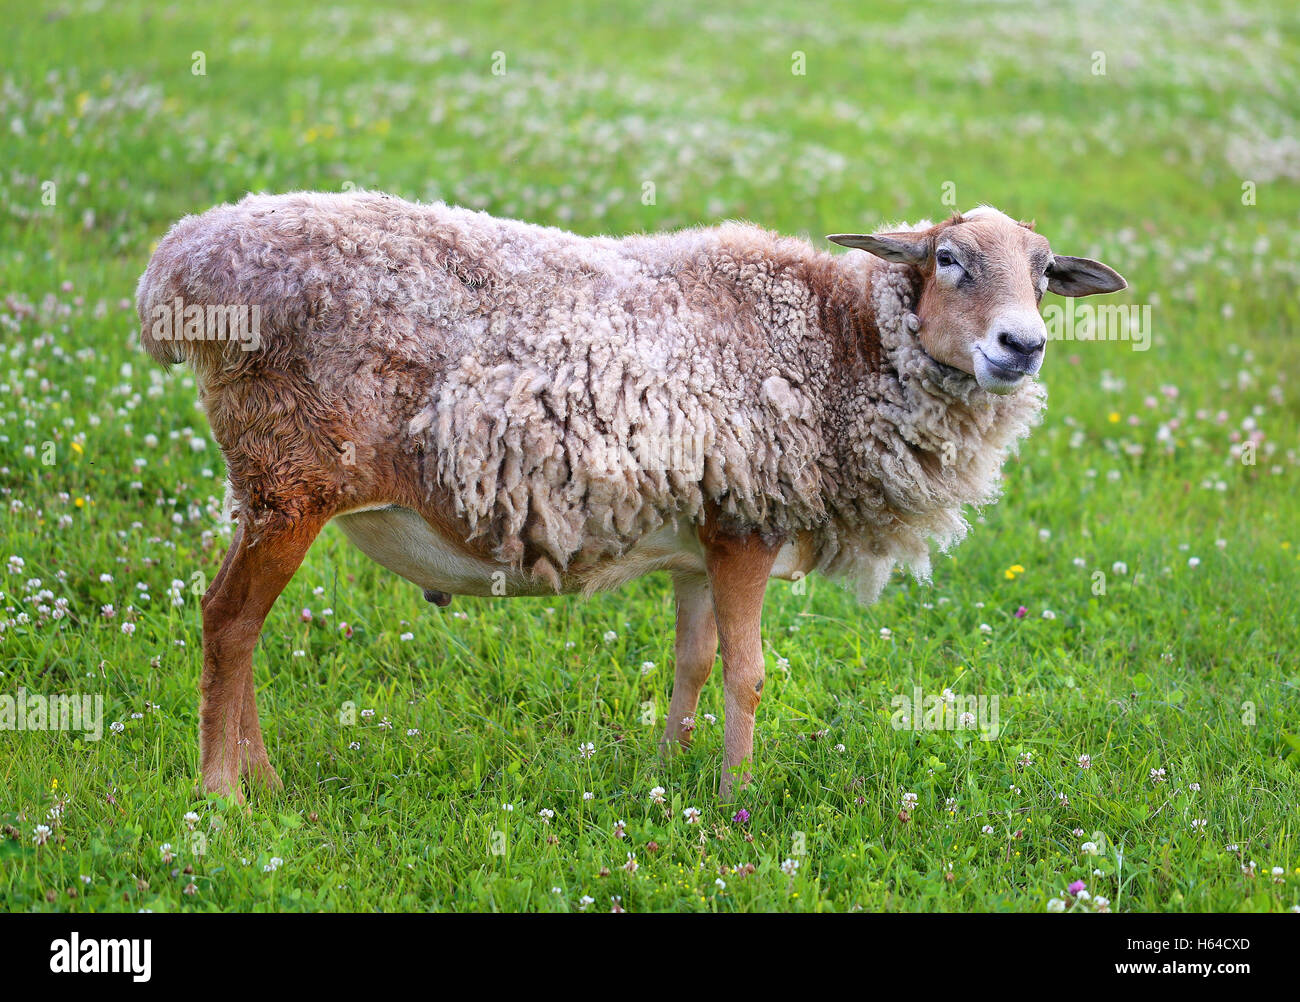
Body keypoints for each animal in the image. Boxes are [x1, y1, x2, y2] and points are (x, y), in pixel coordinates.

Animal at [136, 191, 1126, 799]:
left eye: (1046, 273)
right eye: (949, 258)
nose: (1022, 346)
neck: (833, 341)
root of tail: (181, 264)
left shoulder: (699, 542)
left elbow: (693, 662)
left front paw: (670, 773)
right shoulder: (748, 526)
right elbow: (749, 674)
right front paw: (736, 802)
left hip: (267, 484)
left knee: (240, 624)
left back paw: (263, 782)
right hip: (289, 474)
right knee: (229, 621)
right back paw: (224, 796)